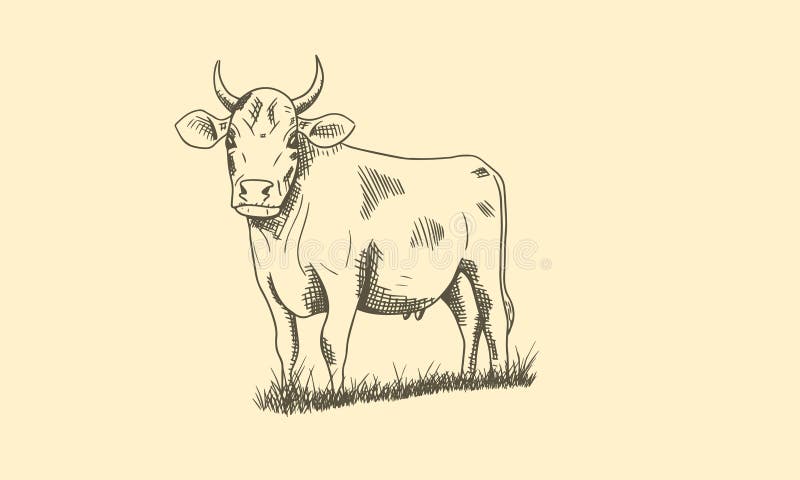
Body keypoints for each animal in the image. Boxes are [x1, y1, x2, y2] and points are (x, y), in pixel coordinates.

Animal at [175, 57, 514, 388]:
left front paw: (336, 395)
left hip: (482, 264)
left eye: (292, 141)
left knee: (495, 313)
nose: (256, 189)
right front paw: (287, 394)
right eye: (230, 140)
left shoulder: (343, 281)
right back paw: (466, 377)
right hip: (452, 274)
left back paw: (499, 376)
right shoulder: (269, 285)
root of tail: (479, 166)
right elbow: (287, 345)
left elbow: (331, 342)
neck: (281, 239)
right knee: (469, 317)